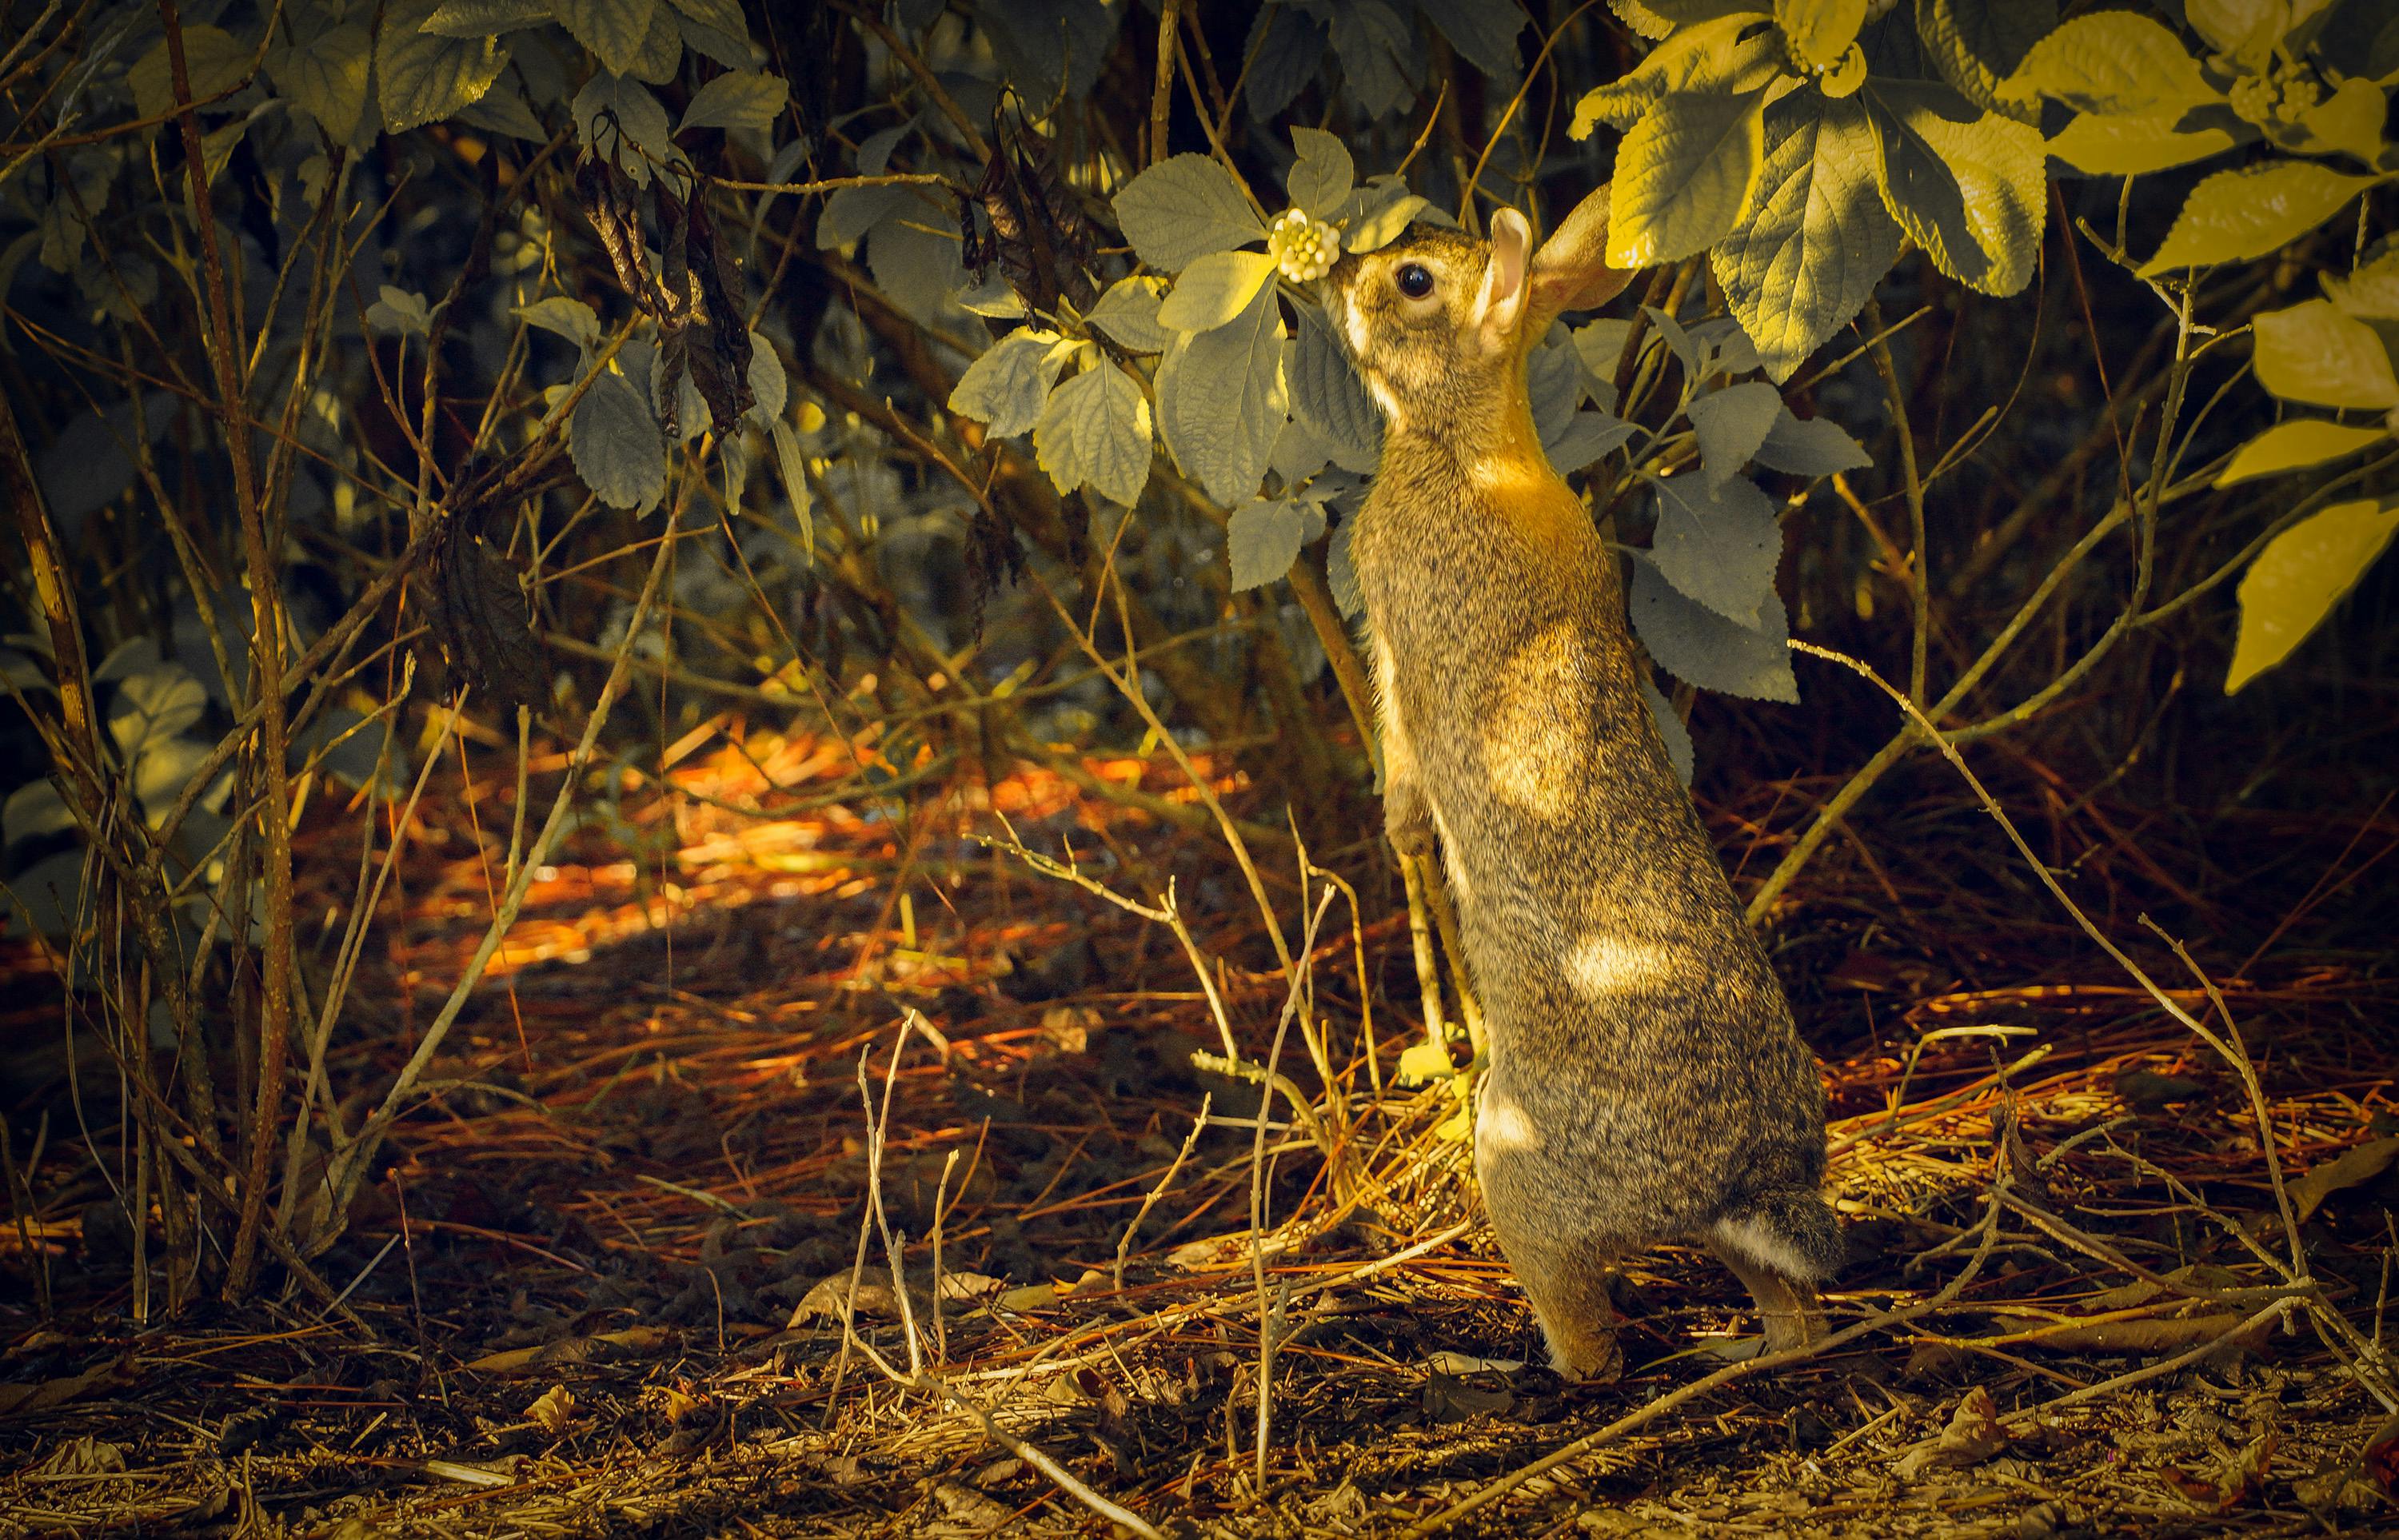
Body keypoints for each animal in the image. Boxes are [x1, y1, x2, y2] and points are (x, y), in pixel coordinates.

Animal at [1320, 186, 1841, 1380]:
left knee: (1586, 1331)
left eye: (1413, 281)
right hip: (1724, 1237)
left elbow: (1402, 750)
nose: (1333, 275)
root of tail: (1736, 1176)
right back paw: (1740, 1350)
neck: (1460, 443)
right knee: (1793, 1315)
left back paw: (1500, 1365)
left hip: (1516, 1168)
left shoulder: (1395, 635)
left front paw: (1401, 832)